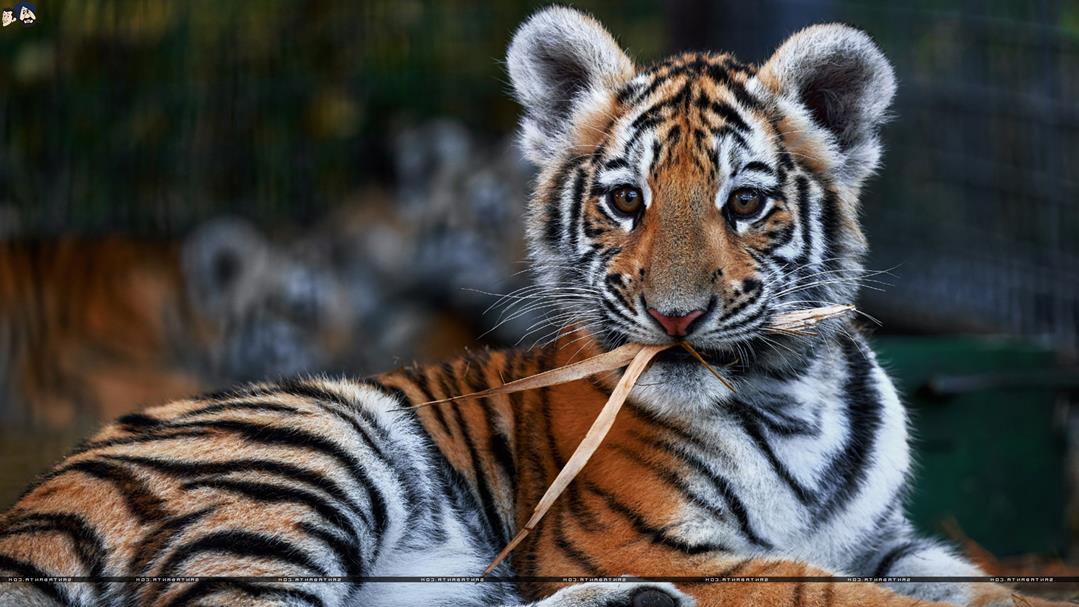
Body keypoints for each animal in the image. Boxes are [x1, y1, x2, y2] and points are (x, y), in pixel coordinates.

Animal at [0, 7, 1069, 607]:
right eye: (625, 200)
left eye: (744, 204)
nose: (675, 316)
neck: (788, 395)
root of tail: (40, 495)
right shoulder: (649, 539)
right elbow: (833, 594)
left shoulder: (888, 538)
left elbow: (984, 587)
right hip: (309, 455)